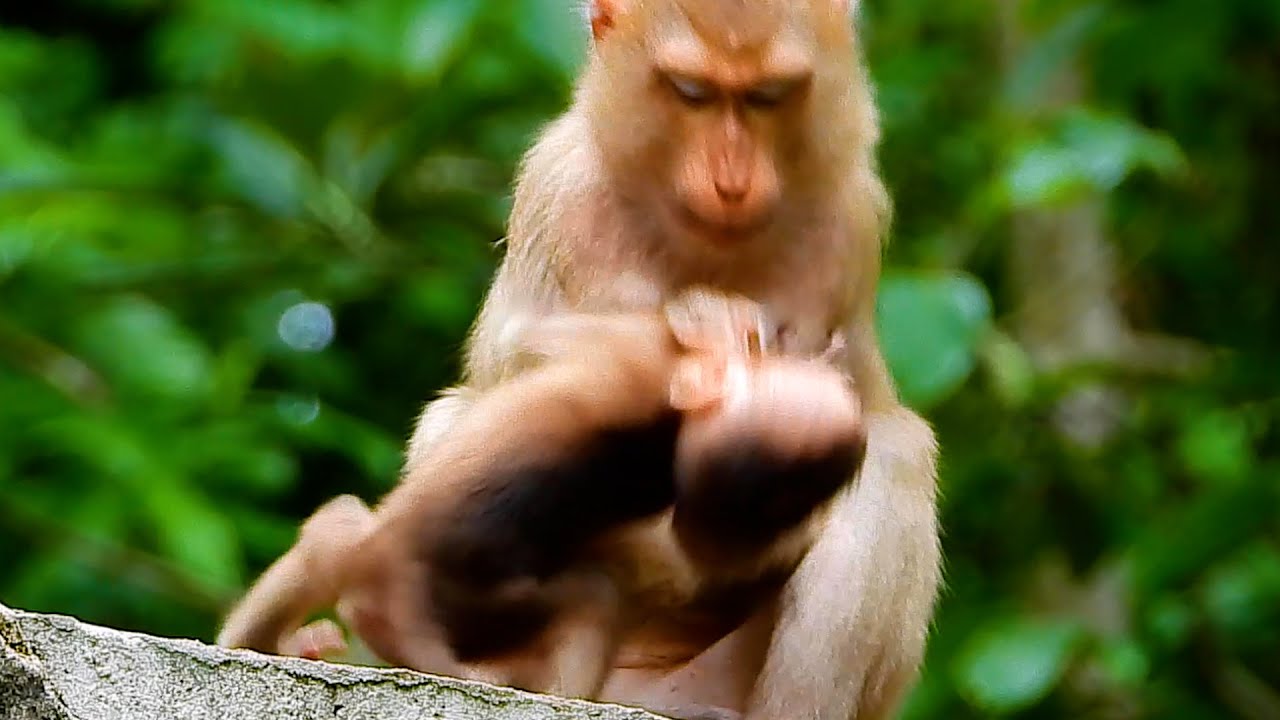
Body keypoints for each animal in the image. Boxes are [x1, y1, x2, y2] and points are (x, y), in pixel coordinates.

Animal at [389, 2, 944, 718]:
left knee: (895, 450)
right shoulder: (560, 189)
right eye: (692, 92)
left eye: (768, 96)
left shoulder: (851, 216)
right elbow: (523, 370)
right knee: (455, 423)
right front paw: (701, 335)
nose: (732, 181)